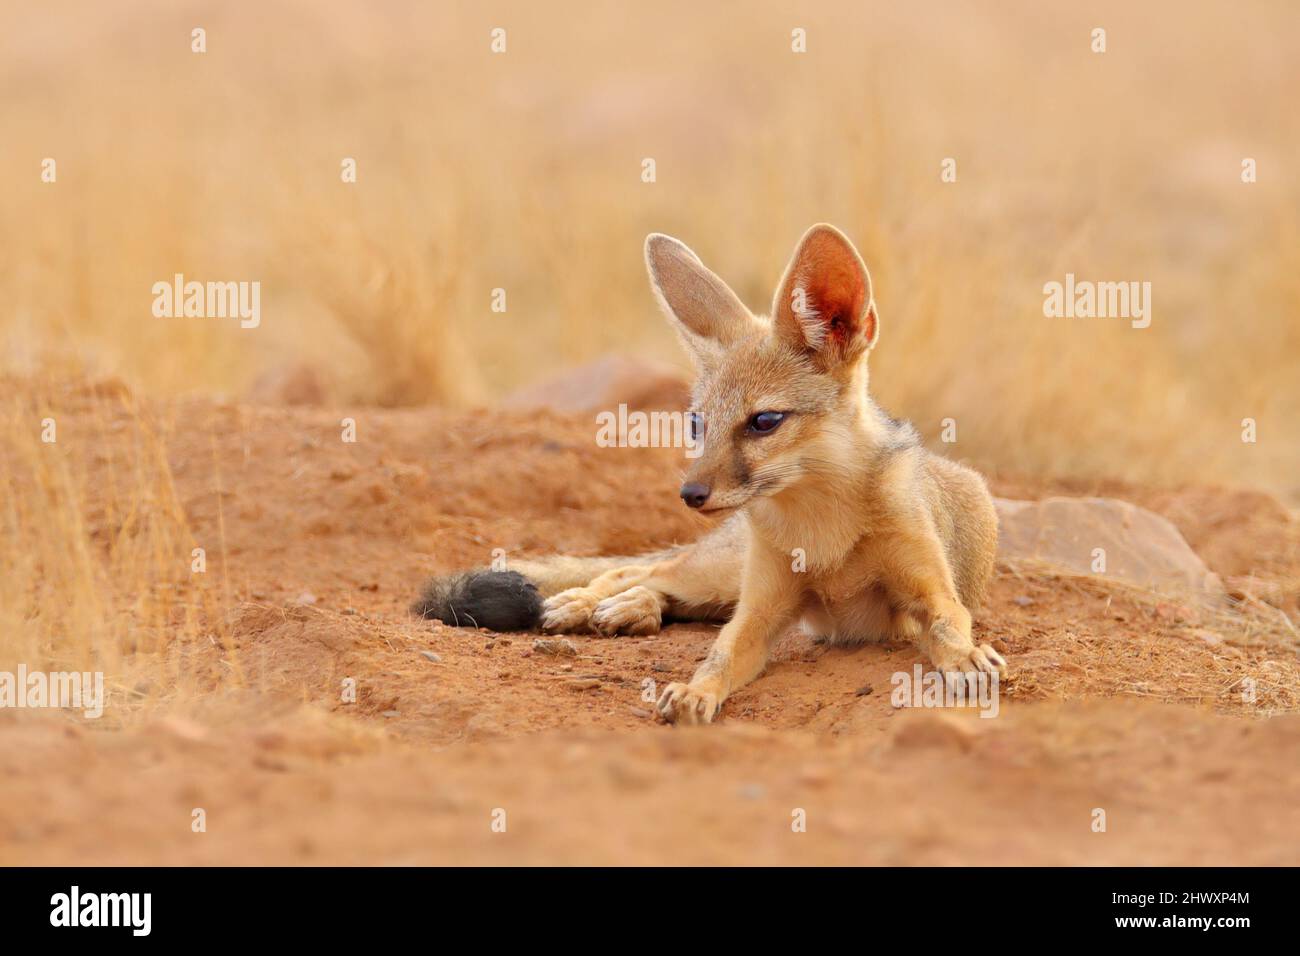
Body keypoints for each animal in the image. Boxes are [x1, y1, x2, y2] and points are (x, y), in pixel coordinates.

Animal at [412, 223, 1006, 725]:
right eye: (697, 423)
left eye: (763, 421)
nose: (690, 493)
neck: (824, 531)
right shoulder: (761, 607)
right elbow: (719, 654)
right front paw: (694, 692)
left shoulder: (926, 592)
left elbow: (949, 624)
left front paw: (968, 658)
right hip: (719, 573)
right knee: (635, 569)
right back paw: (589, 603)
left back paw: (630, 610)